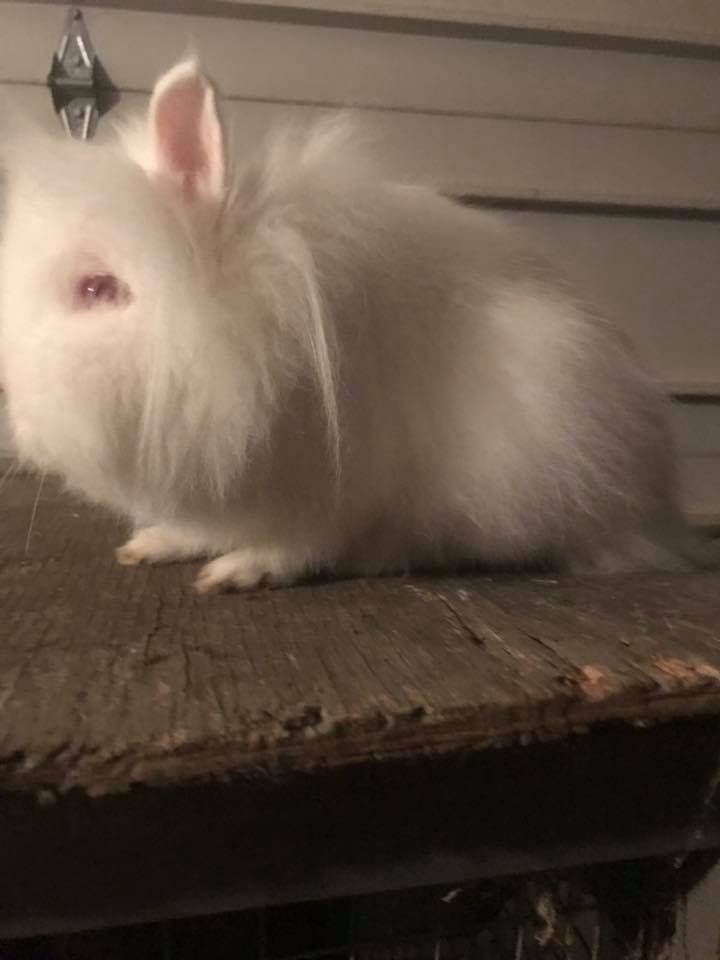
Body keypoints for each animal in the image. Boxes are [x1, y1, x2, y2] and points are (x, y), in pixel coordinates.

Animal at [0, 58, 715, 593]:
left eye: (96, 289)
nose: (20, 418)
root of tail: (658, 508)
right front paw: (157, 544)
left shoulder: (339, 477)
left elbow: (305, 540)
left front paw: (240, 571)